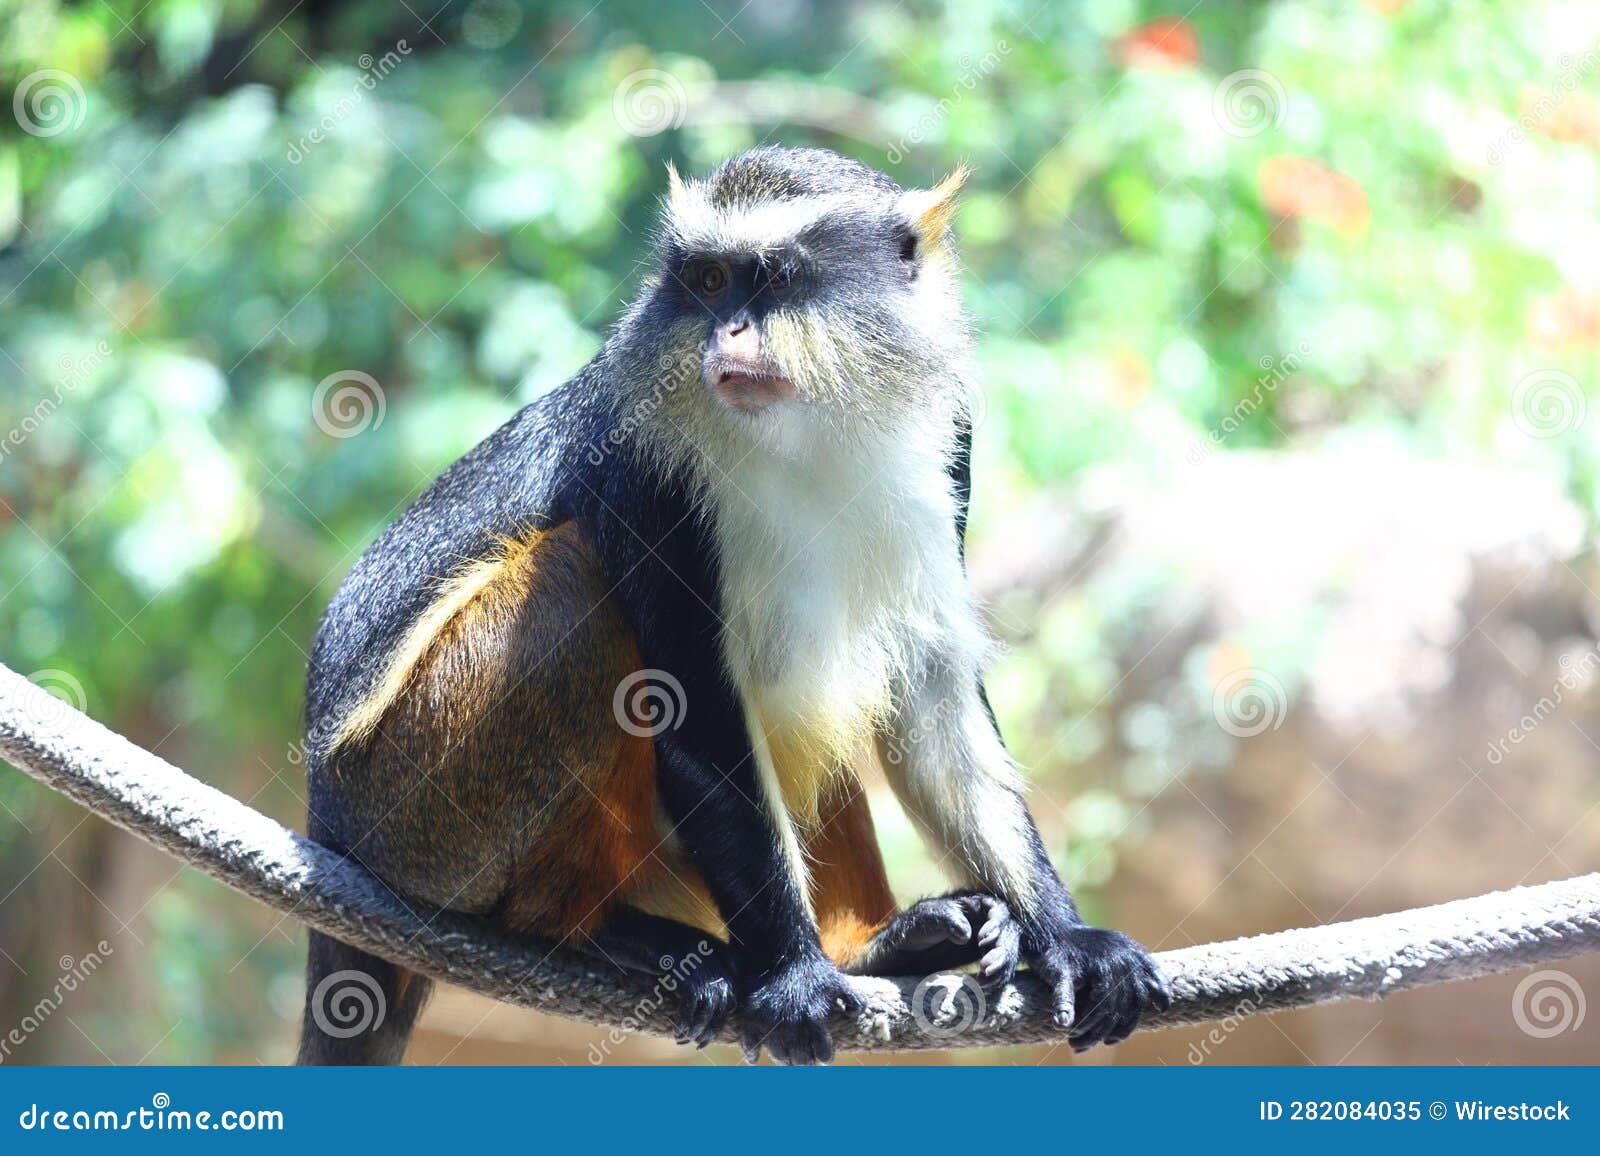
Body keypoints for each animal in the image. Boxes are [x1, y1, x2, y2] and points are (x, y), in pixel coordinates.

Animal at [296, 146, 1170, 1066]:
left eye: (775, 279)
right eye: (710, 281)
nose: (729, 334)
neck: (817, 425)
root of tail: (327, 811)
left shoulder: (952, 444)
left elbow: (934, 703)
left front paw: (1069, 939)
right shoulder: (645, 463)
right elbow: (693, 715)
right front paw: (795, 980)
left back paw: (880, 944)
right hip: (419, 812)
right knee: (572, 583)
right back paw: (593, 932)